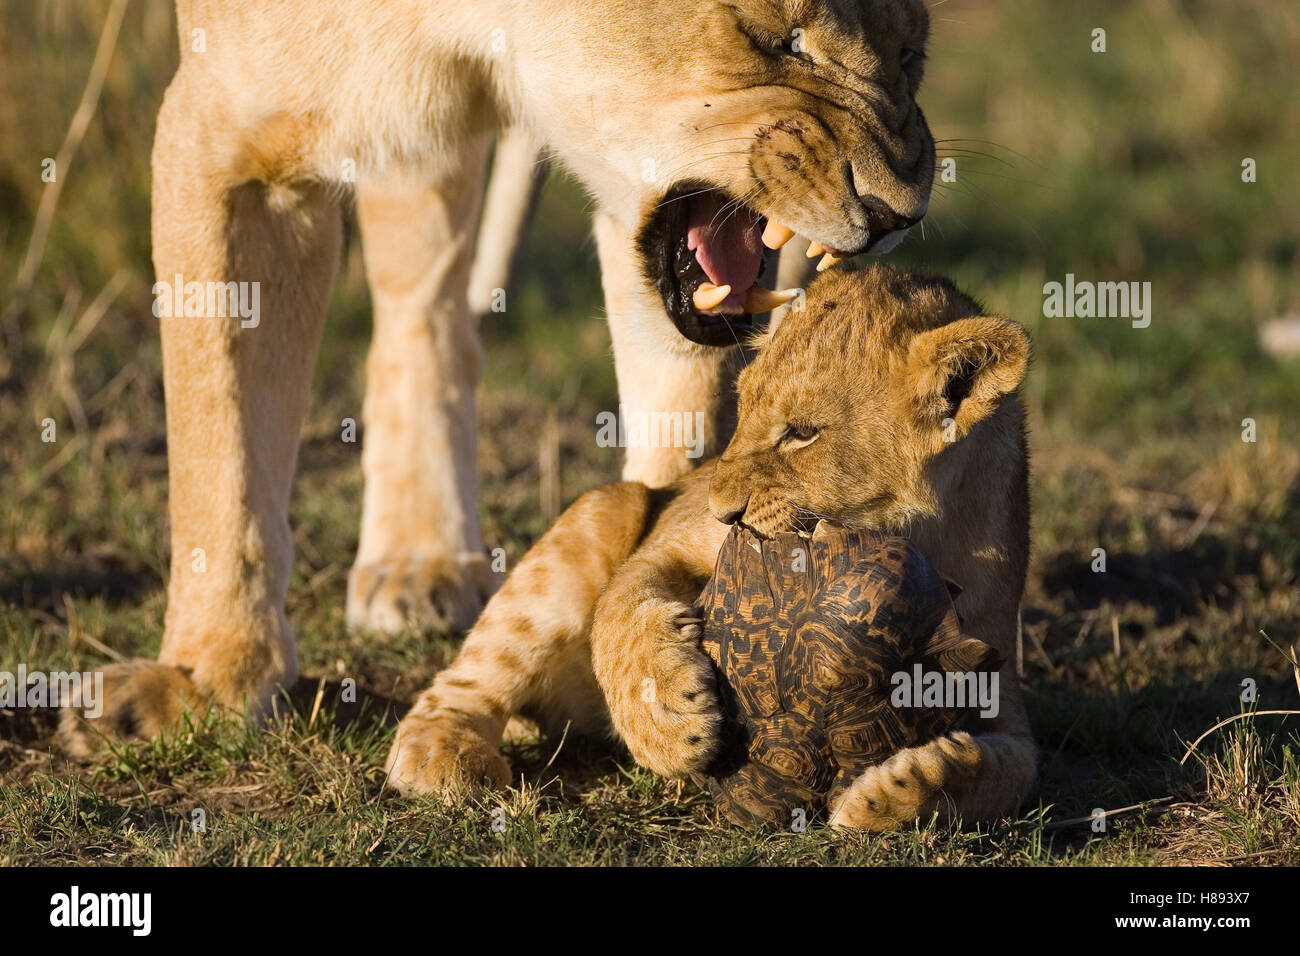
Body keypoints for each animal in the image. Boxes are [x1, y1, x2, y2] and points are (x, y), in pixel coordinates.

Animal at [61, 0, 937, 755]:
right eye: (775, 39)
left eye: (911, 53)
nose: (899, 216)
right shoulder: (228, 135)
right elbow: (221, 443)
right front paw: (204, 676)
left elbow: (686, 430)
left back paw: (424, 562)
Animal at [385, 265, 1036, 830]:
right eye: (742, 405)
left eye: (803, 434)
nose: (722, 509)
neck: (917, 533)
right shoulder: (670, 542)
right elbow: (621, 612)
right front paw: (672, 720)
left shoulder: (997, 684)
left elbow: (1002, 770)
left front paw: (894, 793)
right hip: (604, 512)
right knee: (465, 681)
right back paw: (444, 759)